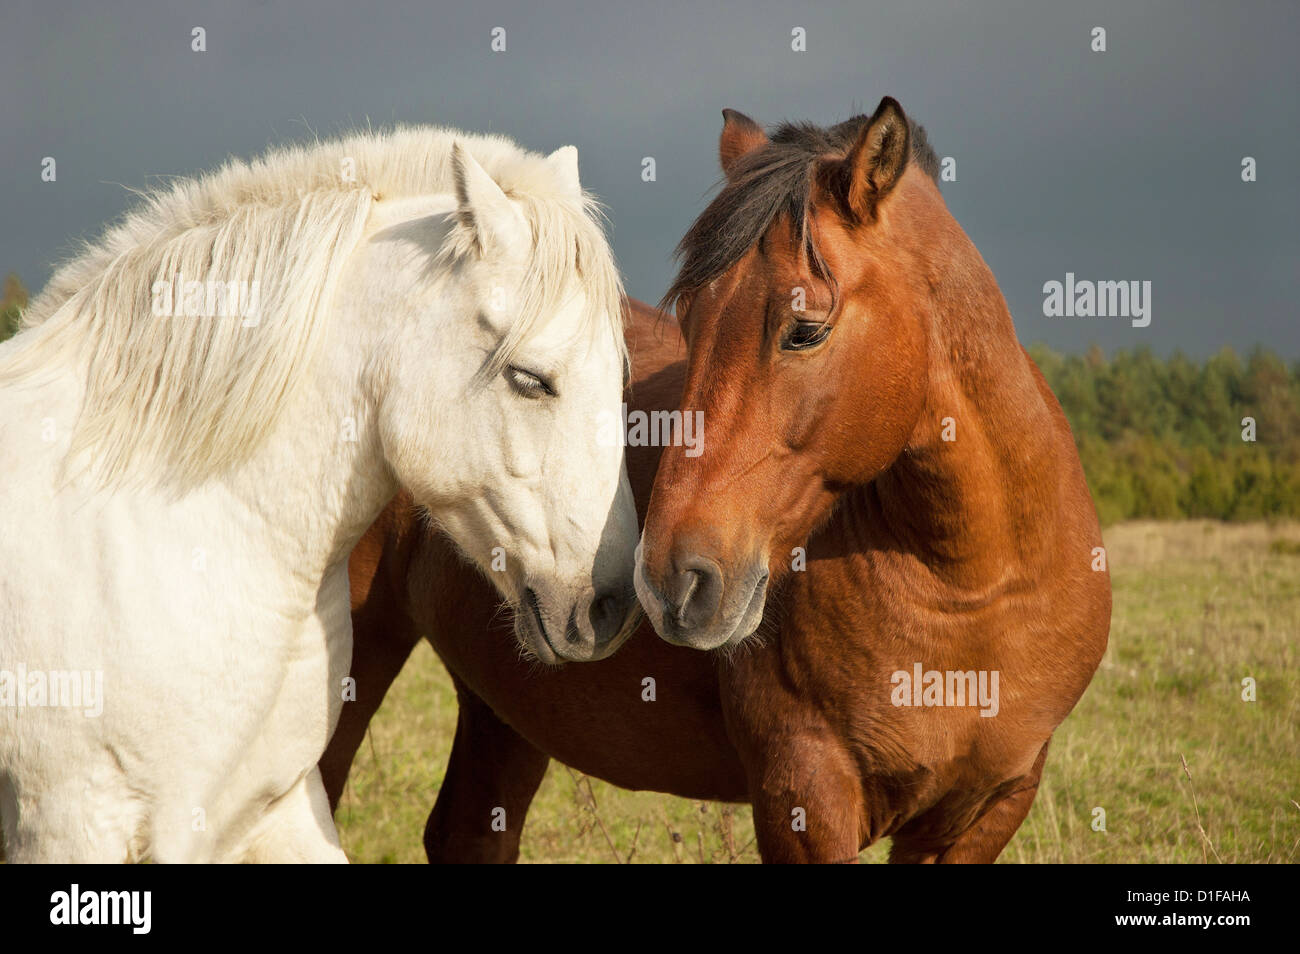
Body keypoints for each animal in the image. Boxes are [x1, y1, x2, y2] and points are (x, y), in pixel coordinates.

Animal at [321, 97, 1111, 863]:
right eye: (692, 320)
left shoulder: (987, 809)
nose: (671, 580)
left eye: (806, 329)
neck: (971, 587)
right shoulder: (804, 797)